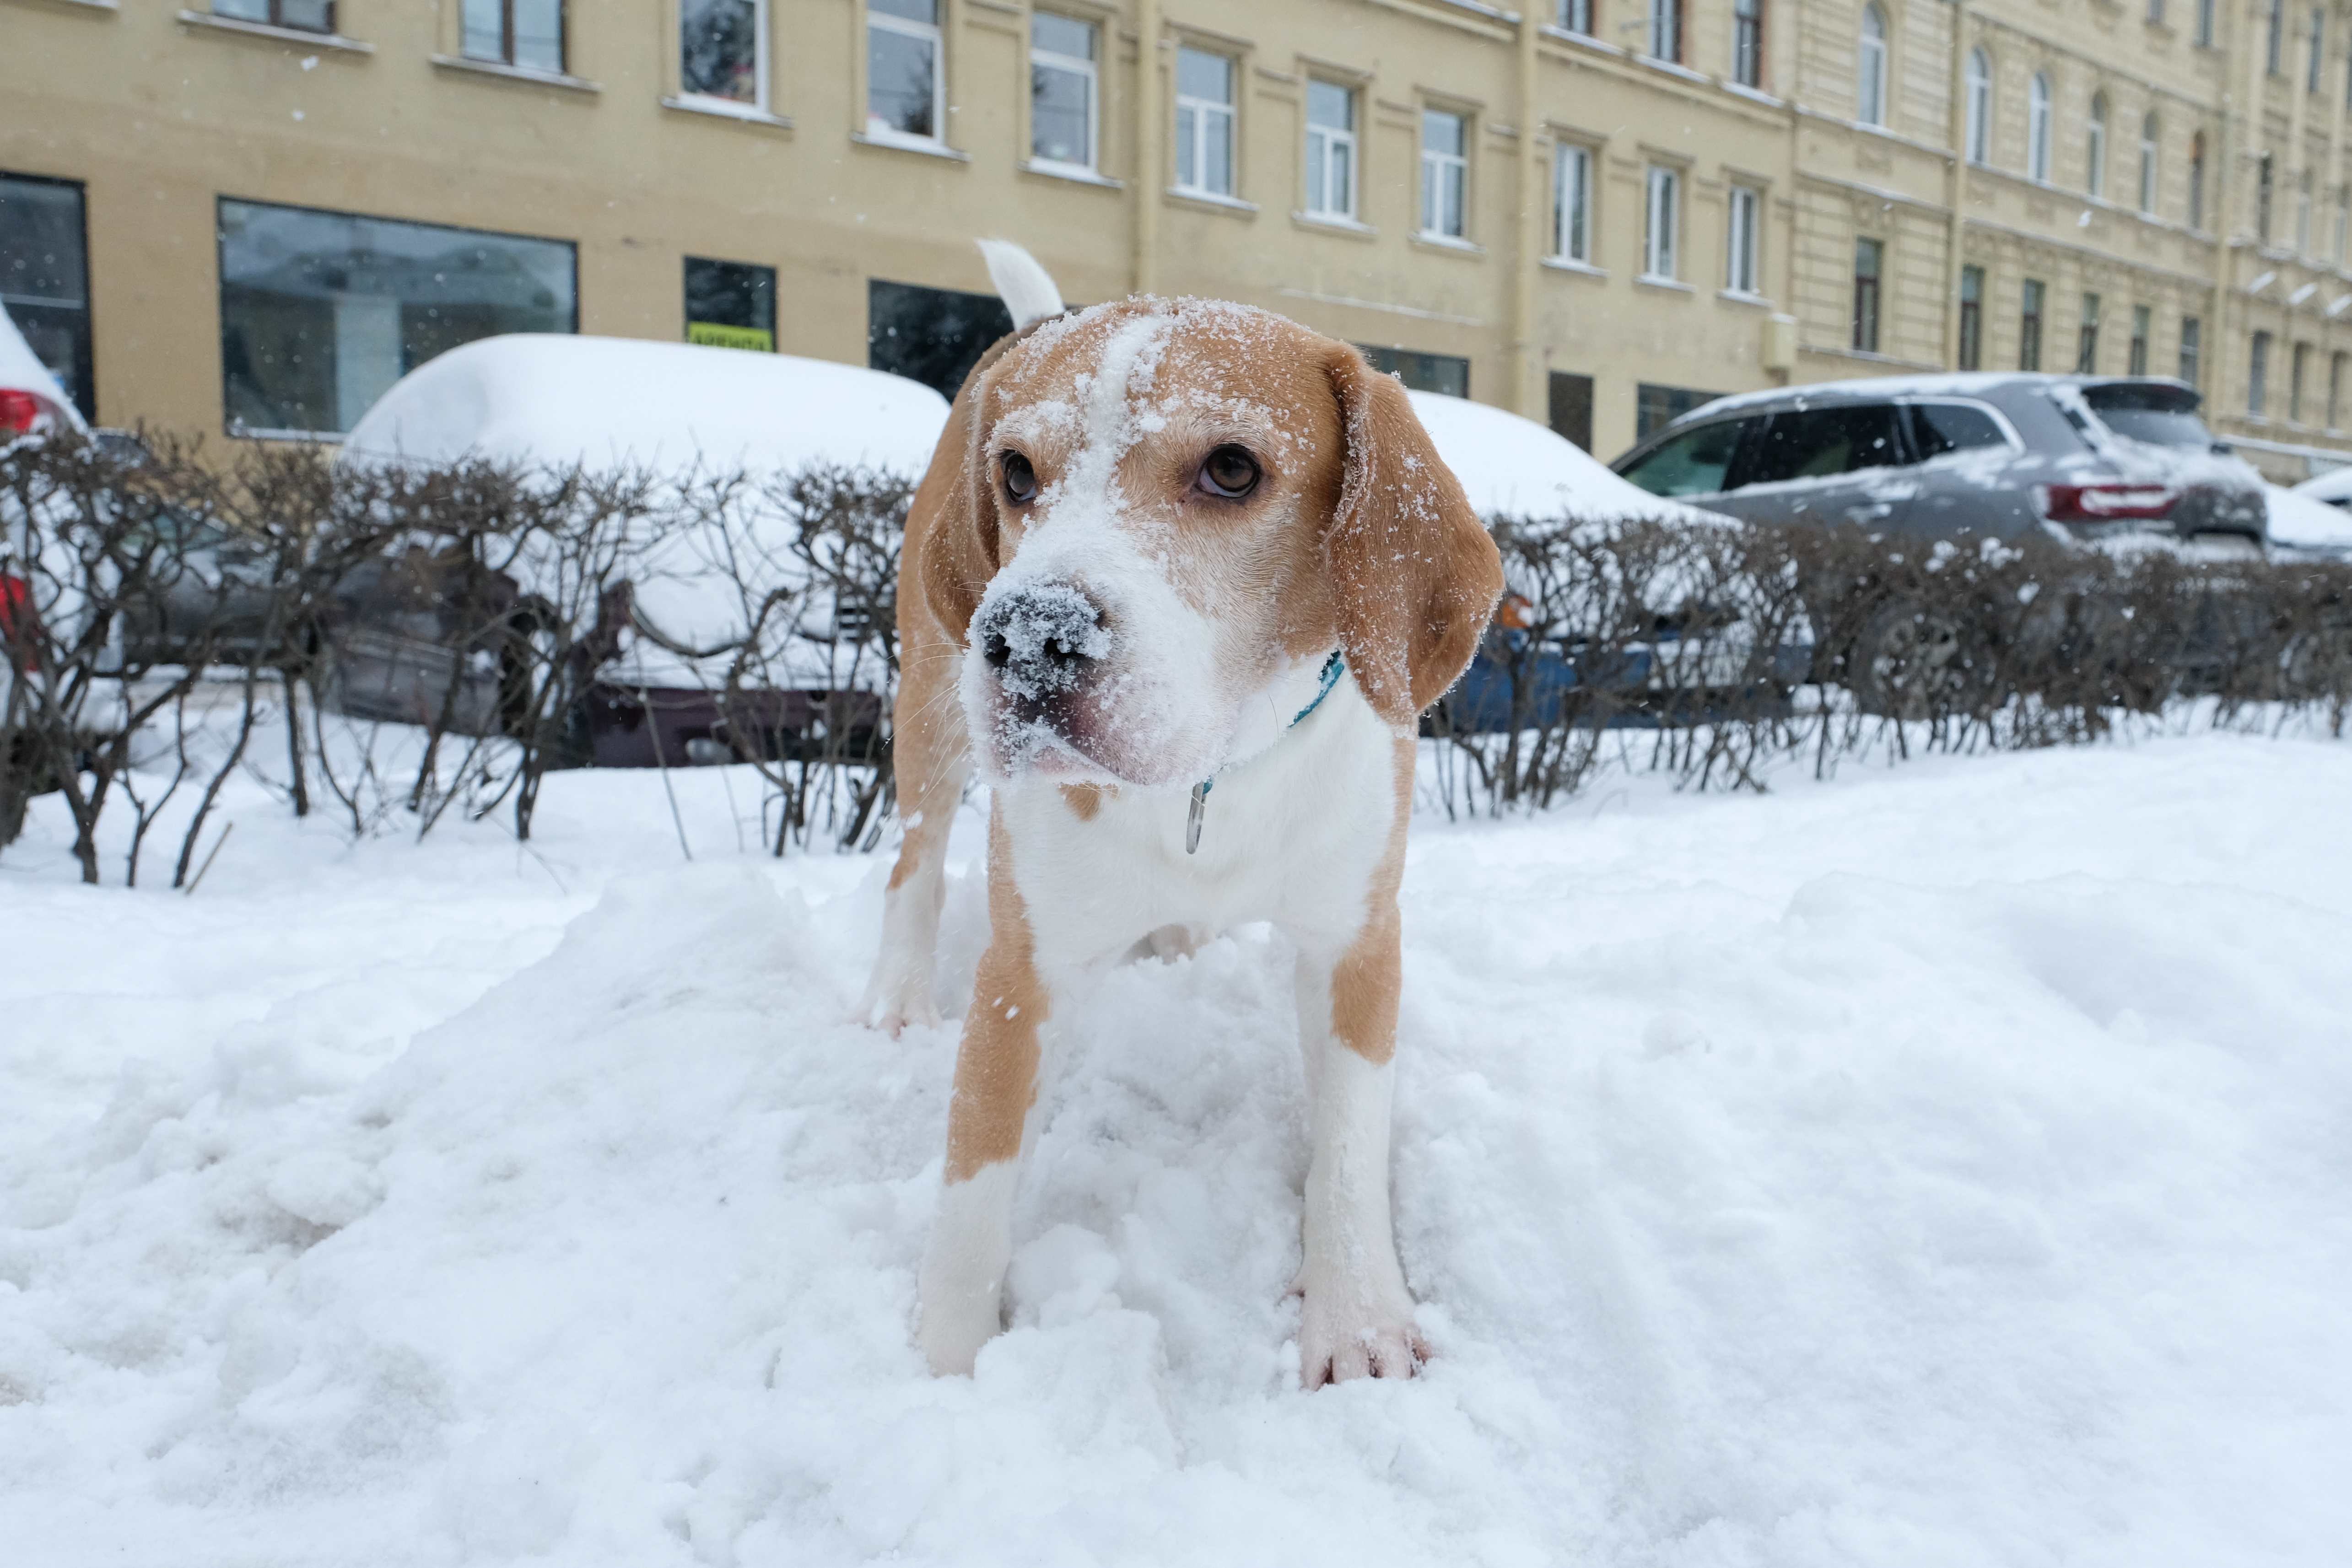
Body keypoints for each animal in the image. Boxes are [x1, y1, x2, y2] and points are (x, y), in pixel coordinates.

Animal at [865, 245, 1505, 1382]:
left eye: (1232, 470)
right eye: (1016, 474)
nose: (1028, 634)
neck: (1211, 779)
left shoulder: (1356, 938)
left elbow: (1348, 1141)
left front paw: (1357, 1317)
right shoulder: (1021, 971)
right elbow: (974, 1178)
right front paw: (945, 1362)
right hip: (931, 709)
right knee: (915, 851)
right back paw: (898, 993)